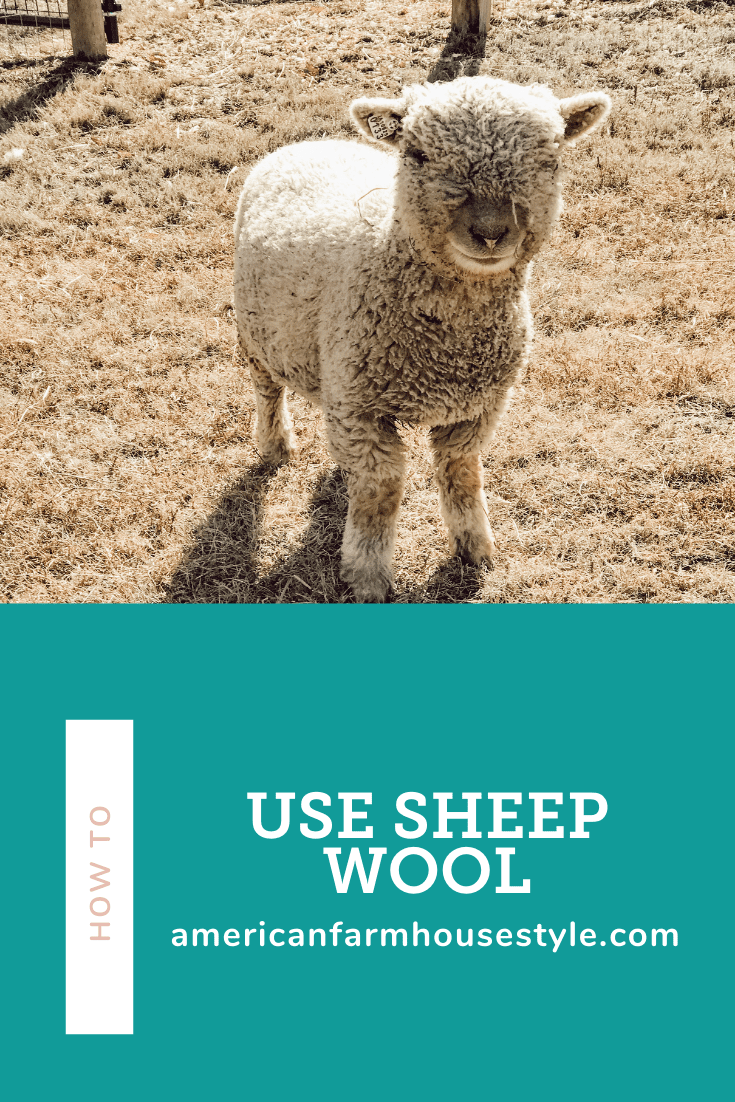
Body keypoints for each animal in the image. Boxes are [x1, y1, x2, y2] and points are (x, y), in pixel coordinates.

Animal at [234, 77, 611, 602]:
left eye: (550, 159)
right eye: (417, 154)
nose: (490, 232)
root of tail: (306, 144)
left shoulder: (479, 408)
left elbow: (460, 473)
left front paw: (475, 547)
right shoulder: (359, 407)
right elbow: (381, 488)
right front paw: (368, 575)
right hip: (256, 334)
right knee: (268, 391)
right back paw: (275, 445)